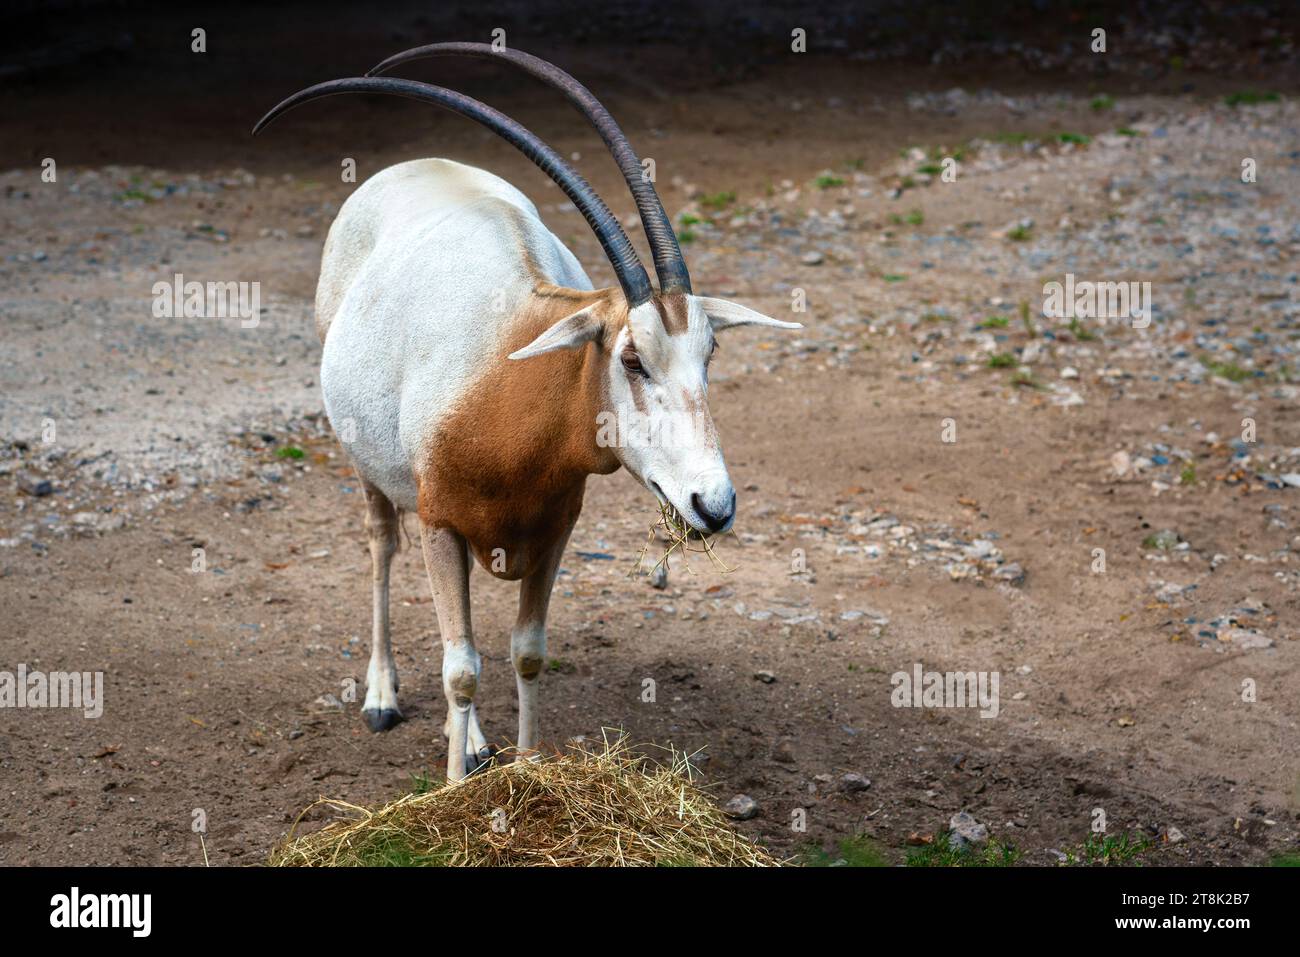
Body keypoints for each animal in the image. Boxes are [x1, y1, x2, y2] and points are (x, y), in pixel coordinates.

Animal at [254, 43, 800, 781]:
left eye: (709, 350)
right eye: (632, 358)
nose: (713, 505)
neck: (510, 374)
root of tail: (413, 167)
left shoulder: (552, 530)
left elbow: (526, 652)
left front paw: (526, 768)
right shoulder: (440, 524)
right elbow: (460, 668)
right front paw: (454, 788)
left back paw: (472, 738)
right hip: (368, 468)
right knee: (382, 545)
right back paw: (382, 696)